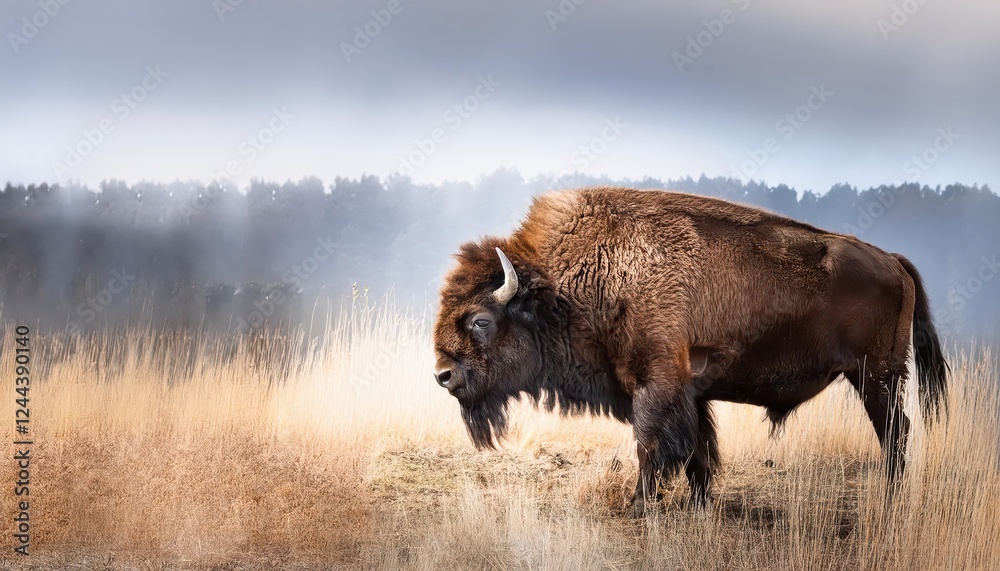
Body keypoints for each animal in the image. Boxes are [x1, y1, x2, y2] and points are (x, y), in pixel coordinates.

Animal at [433, 187, 947, 516]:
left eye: (480, 320)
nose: (443, 375)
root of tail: (892, 260)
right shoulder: (693, 392)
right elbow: (700, 451)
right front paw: (699, 505)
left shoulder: (655, 385)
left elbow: (651, 445)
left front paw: (639, 506)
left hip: (876, 377)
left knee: (896, 433)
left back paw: (891, 501)